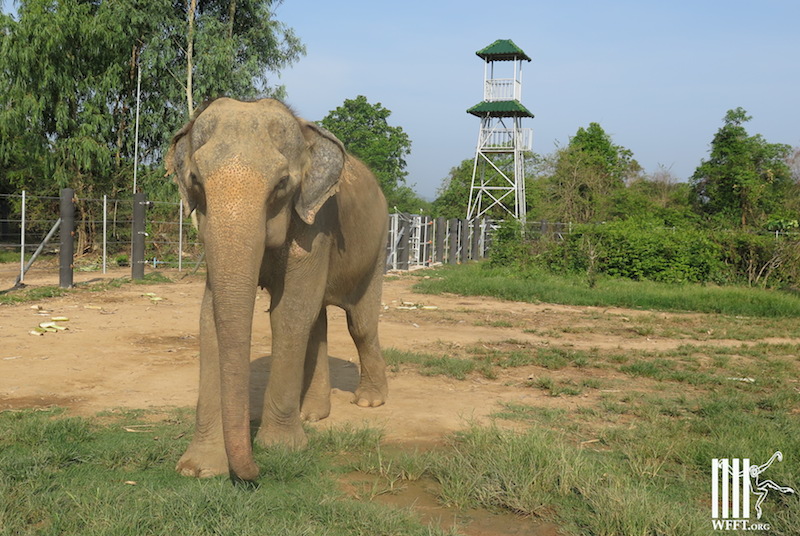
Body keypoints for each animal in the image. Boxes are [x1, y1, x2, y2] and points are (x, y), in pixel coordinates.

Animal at [165, 97, 389, 481]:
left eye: (282, 183)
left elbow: (289, 314)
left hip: (379, 247)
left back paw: (370, 401)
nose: (255, 472)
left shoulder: (316, 224)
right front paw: (198, 470)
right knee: (317, 321)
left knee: (359, 324)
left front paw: (281, 450)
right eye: (196, 180)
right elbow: (210, 319)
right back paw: (312, 414)